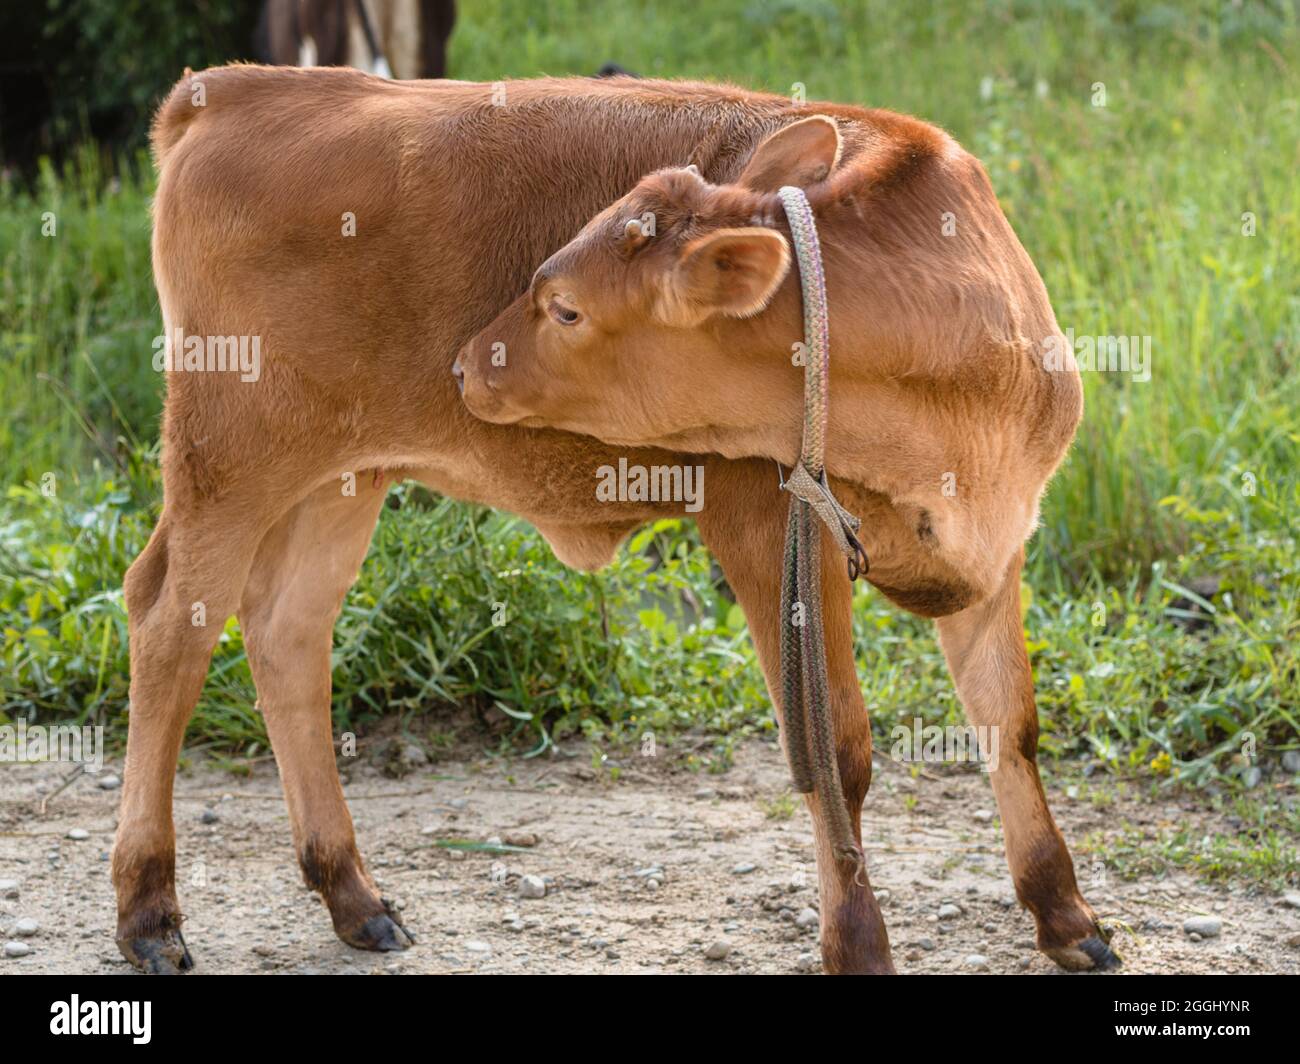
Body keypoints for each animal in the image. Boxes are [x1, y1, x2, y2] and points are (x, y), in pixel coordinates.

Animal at [114, 63, 1115, 975]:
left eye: (564, 307)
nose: (466, 364)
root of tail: (235, 86)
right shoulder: (768, 527)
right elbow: (834, 748)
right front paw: (859, 946)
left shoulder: (998, 536)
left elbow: (1010, 722)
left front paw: (1064, 915)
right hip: (229, 458)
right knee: (170, 625)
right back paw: (149, 912)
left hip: (341, 477)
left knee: (288, 632)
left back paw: (350, 893)